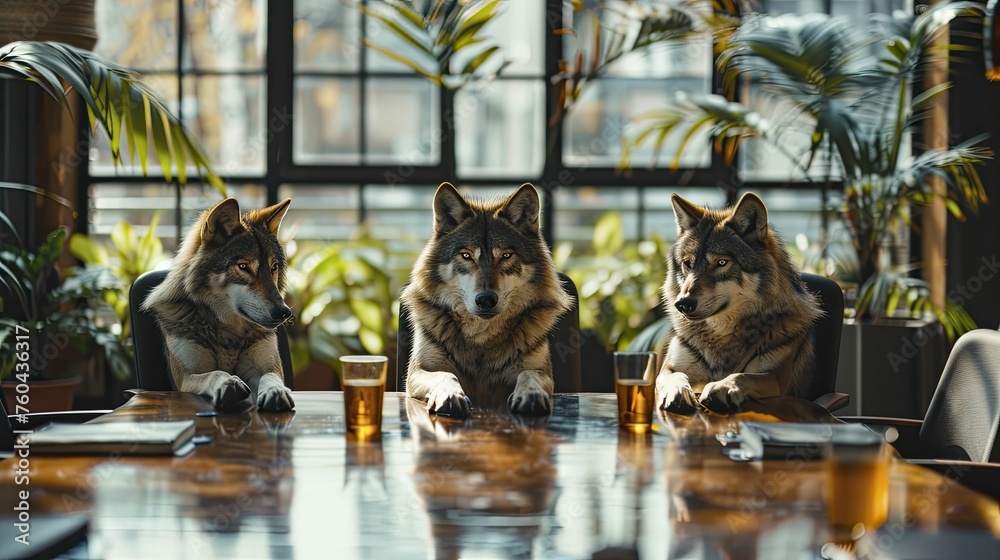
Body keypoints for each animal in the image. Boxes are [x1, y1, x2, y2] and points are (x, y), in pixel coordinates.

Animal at [142, 197, 296, 412]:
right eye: (243, 266)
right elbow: (214, 374)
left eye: (273, 267)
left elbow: (270, 376)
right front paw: (229, 383)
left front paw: (276, 391)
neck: (228, 331)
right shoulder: (186, 378)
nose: (284, 312)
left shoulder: (266, 366)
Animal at [401, 183, 572, 418]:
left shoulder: (541, 371)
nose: (485, 300)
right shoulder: (419, 371)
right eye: (466, 255)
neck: (482, 334)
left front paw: (531, 395)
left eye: (506, 256)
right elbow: (446, 375)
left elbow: (528, 375)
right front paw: (450, 395)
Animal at [656, 192, 822, 414]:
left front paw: (722, 387)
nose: (683, 304)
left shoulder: (775, 378)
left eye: (721, 263)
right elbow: (675, 376)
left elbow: (743, 376)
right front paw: (677, 392)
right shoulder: (669, 368)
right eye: (687, 264)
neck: (721, 335)